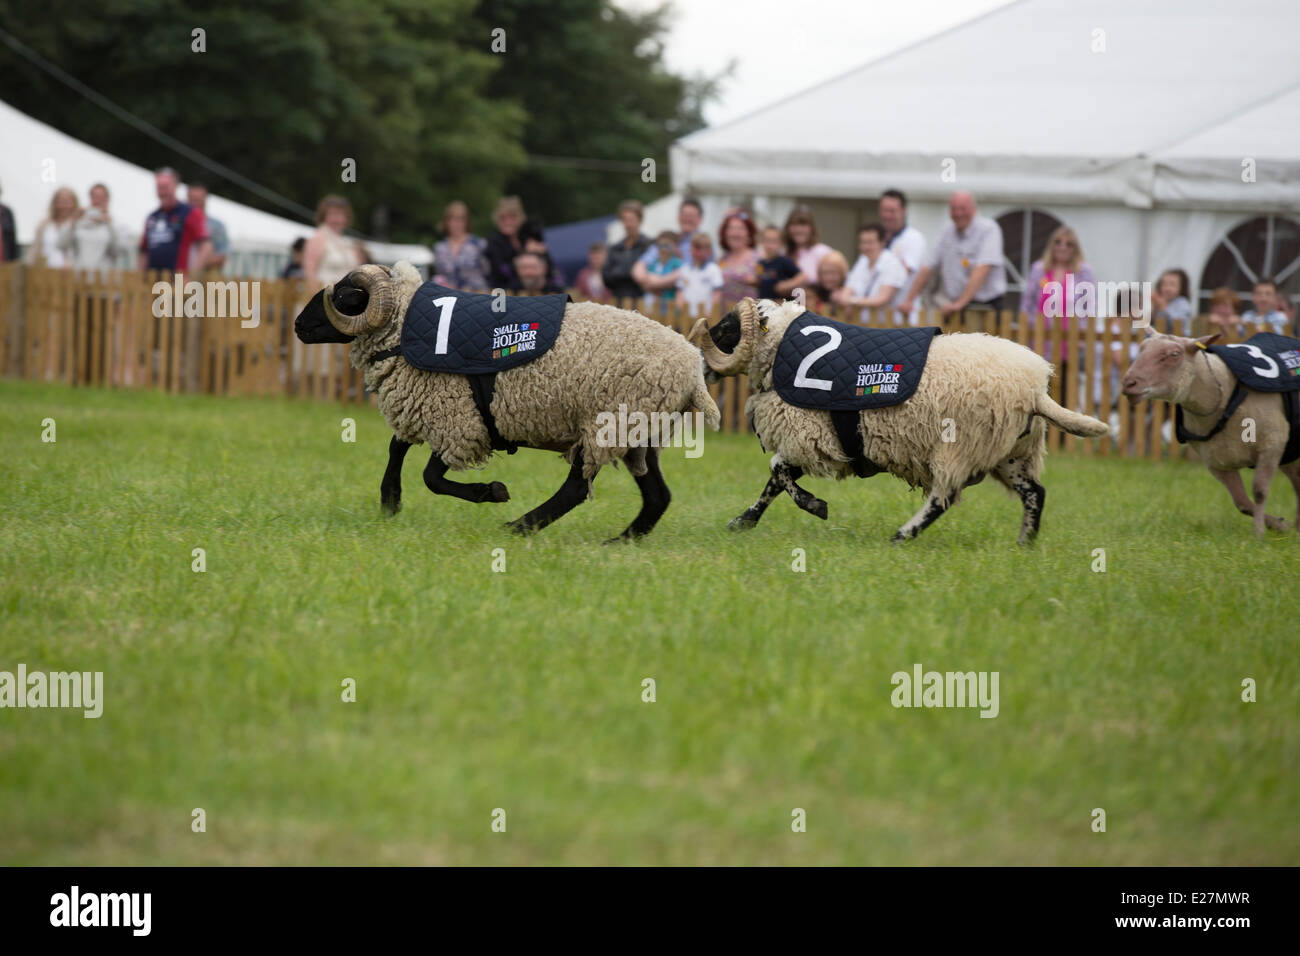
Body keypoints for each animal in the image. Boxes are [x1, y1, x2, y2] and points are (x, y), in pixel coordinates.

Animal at [293, 262, 720, 540]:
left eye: (344, 296)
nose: (297, 324)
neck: (401, 330)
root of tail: (692, 367)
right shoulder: (428, 409)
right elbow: (396, 447)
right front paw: (390, 501)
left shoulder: (459, 420)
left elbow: (431, 477)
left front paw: (492, 492)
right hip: (639, 432)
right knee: (657, 496)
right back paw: (621, 541)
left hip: (608, 422)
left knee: (575, 490)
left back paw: (519, 527)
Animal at [689, 297, 1110, 543]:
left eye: (726, 329)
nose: (699, 364)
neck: (778, 347)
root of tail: (1037, 389)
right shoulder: (813, 441)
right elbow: (774, 483)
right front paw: (743, 522)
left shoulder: (810, 437)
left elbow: (777, 472)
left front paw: (815, 506)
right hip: (1009, 452)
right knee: (1035, 493)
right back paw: (1024, 543)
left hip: (961, 446)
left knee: (943, 497)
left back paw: (903, 535)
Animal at [1121, 330, 1300, 534]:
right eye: (1141, 348)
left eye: (1174, 354)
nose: (1129, 383)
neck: (1224, 392)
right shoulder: (1218, 462)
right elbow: (1242, 503)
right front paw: (1278, 525)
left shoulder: (1272, 444)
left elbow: (1259, 491)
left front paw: (1259, 531)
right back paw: (1296, 527)